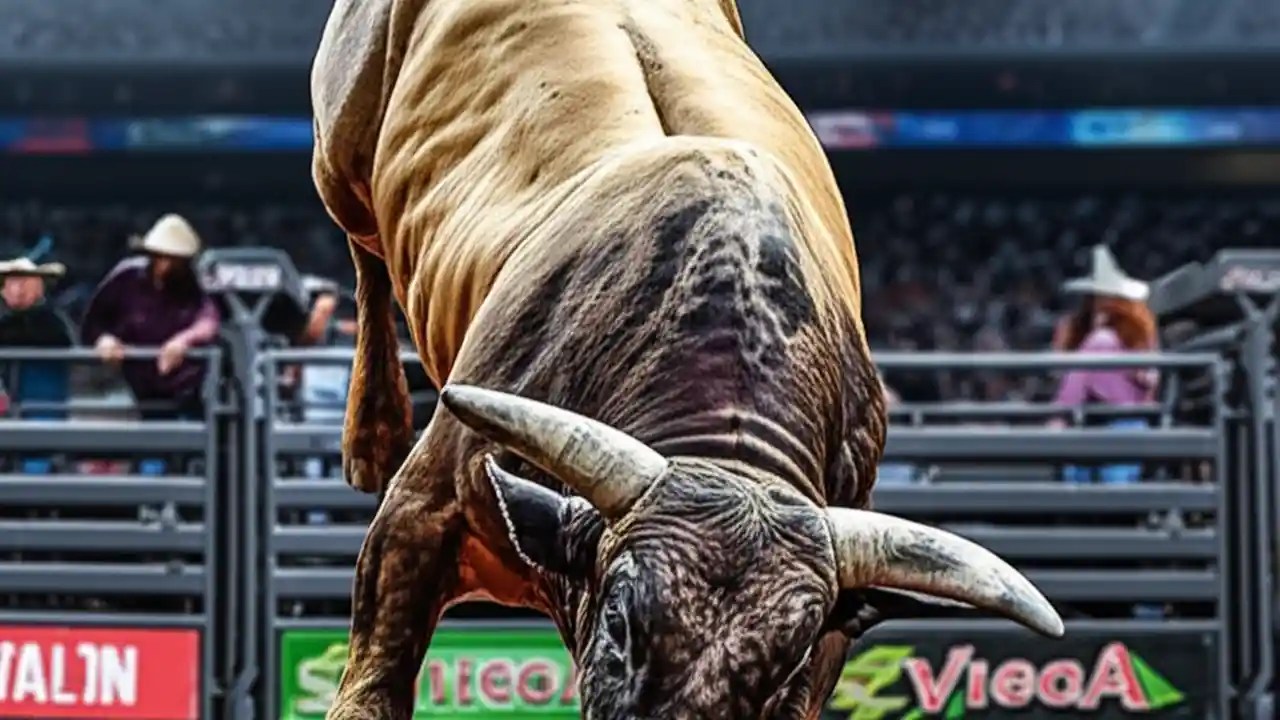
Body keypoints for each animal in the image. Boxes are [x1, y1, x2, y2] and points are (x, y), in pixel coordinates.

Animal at [310, 0, 1064, 718]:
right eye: (620, 622)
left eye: (784, 663)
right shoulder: (421, 512)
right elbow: (371, 687)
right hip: (340, 148)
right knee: (364, 251)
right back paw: (372, 435)